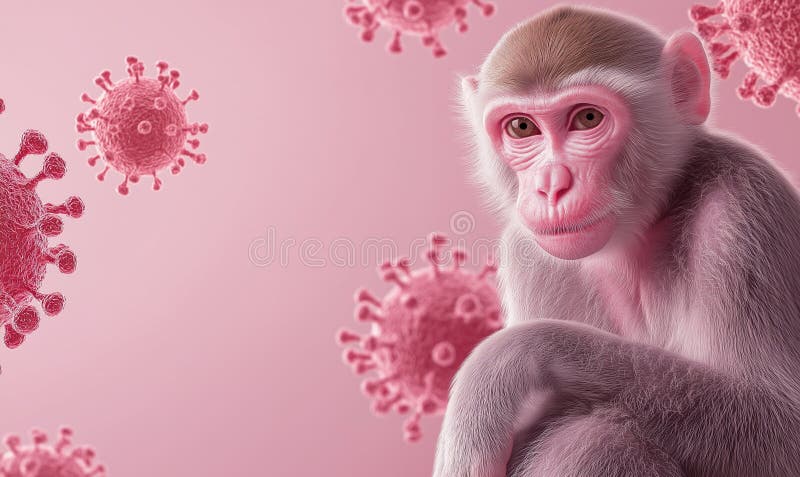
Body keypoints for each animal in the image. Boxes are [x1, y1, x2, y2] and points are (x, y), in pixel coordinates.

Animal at [433, 6, 800, 477]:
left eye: (588, 118)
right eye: (521, 127)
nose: (550, 186)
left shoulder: (743, 208)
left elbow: (781, 423)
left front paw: (497, 370)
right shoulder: (530, 256)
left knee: (598, 436)